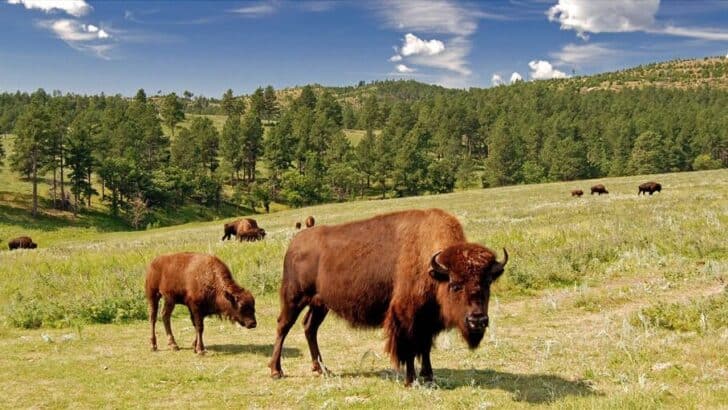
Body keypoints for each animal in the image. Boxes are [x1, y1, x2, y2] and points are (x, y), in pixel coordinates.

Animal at [268, 209, 508, 386]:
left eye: (487, 282)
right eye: (455, 285)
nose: (477, 320)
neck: (433, 267)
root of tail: (295, 242)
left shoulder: (427, 319)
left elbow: (425, 347)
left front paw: (429, 377)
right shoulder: (406, 316)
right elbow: (409, 348)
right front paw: (411, 381)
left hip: (320, 304)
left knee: (309, 327)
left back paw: (321, 369)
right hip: (294, 298)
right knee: (283, 326)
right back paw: (276, 371)